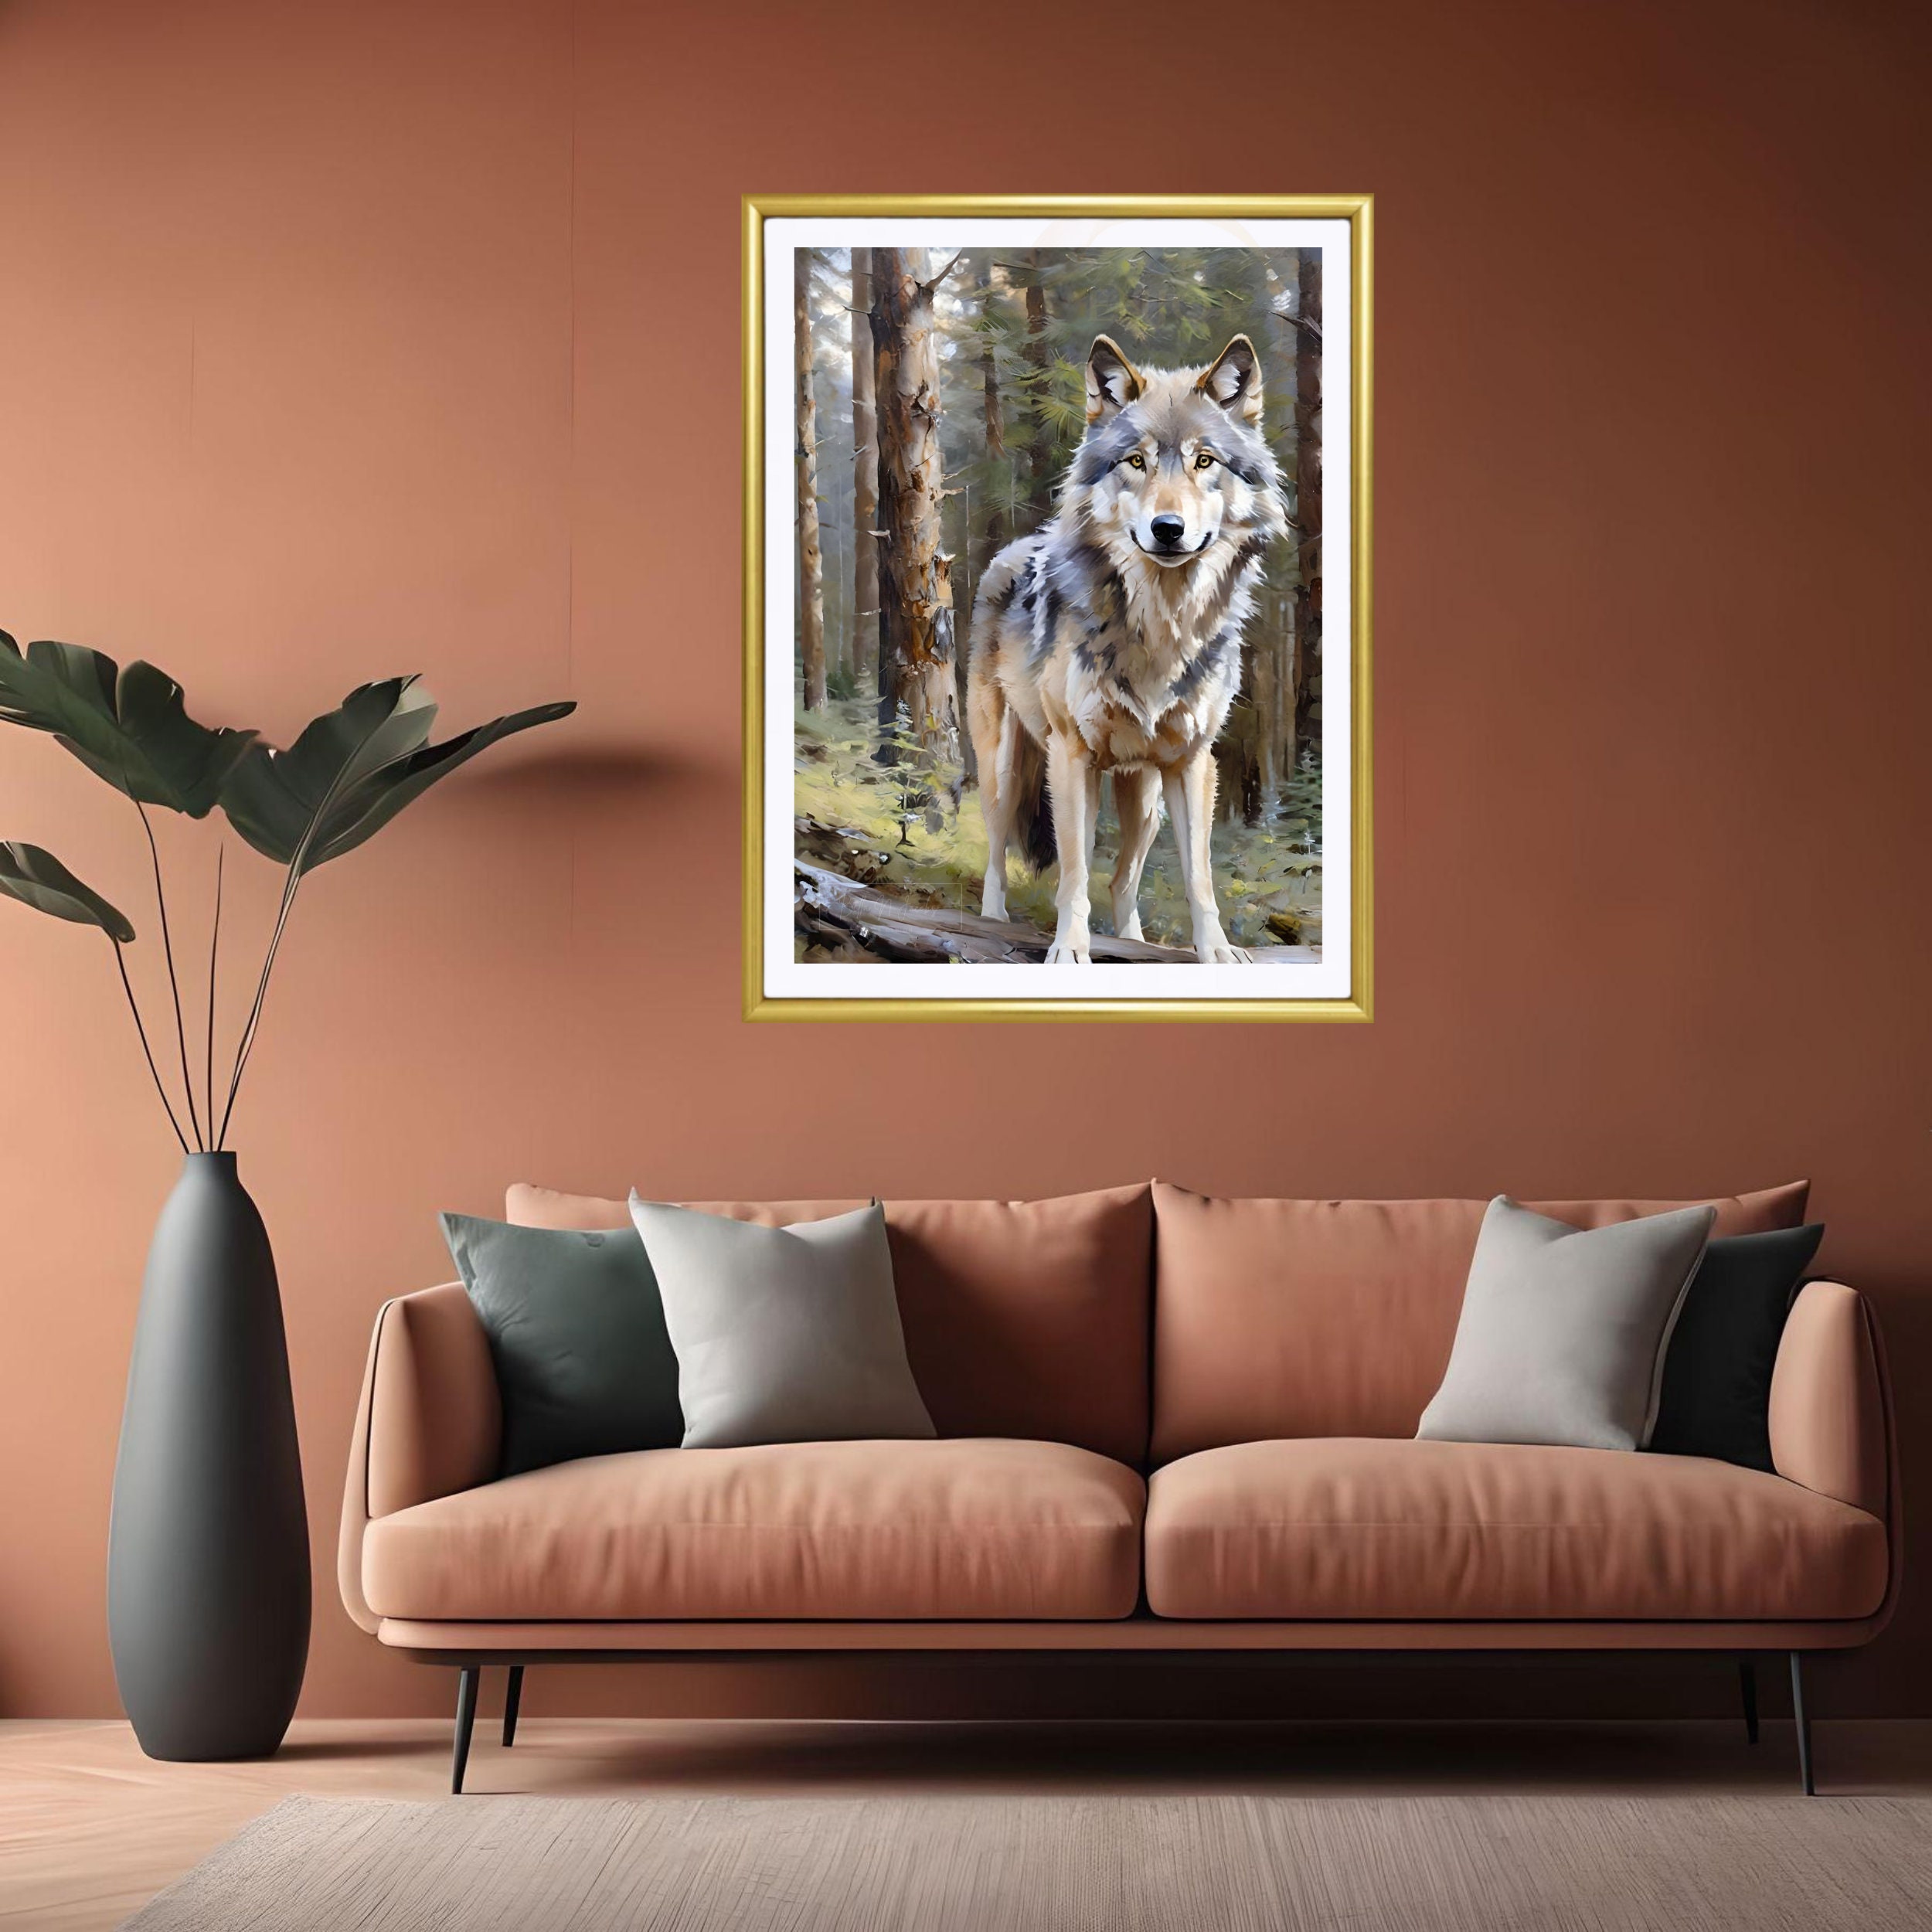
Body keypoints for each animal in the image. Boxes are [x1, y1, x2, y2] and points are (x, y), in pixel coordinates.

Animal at [965, 332, 1288, 963]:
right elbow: (1073, 874)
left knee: (1122, 880)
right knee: (996, 853)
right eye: (1135, 461)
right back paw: (993, 922)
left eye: (1204, 461)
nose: (1168, 529)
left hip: (1145, 794)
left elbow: (1198, 876)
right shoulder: (1070, 756)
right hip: (1005, 768)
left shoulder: (1193, 761)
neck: (1160, 627)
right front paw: (1069, 950)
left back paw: (1132, 941)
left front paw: (1217, 952)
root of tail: (1014, 546)